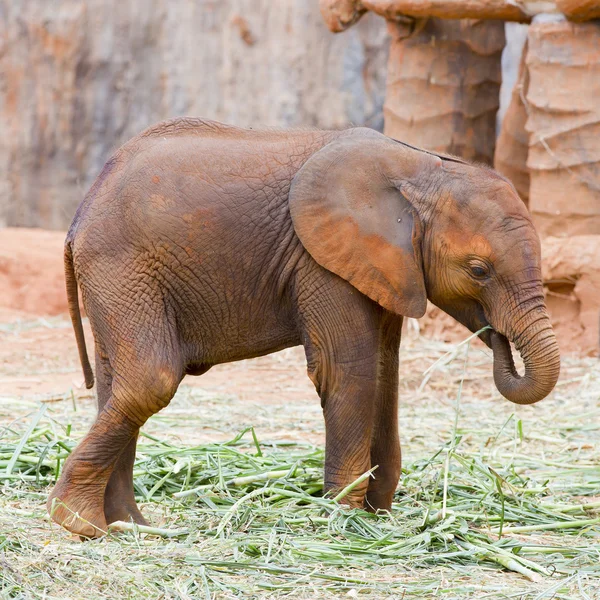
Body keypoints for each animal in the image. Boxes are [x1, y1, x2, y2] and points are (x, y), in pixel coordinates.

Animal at [49, 116, 560, 536]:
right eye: (479, 270)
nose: (495, 334)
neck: (421, 169)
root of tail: (79, 214)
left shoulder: (384, 267)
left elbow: (384, 371)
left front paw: (376, 515)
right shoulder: (321, 261)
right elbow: (347, 370)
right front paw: (345, 520)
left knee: (115, 384)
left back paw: (128, 527)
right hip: (122, 267)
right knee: (147, 381)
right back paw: (78, 523)